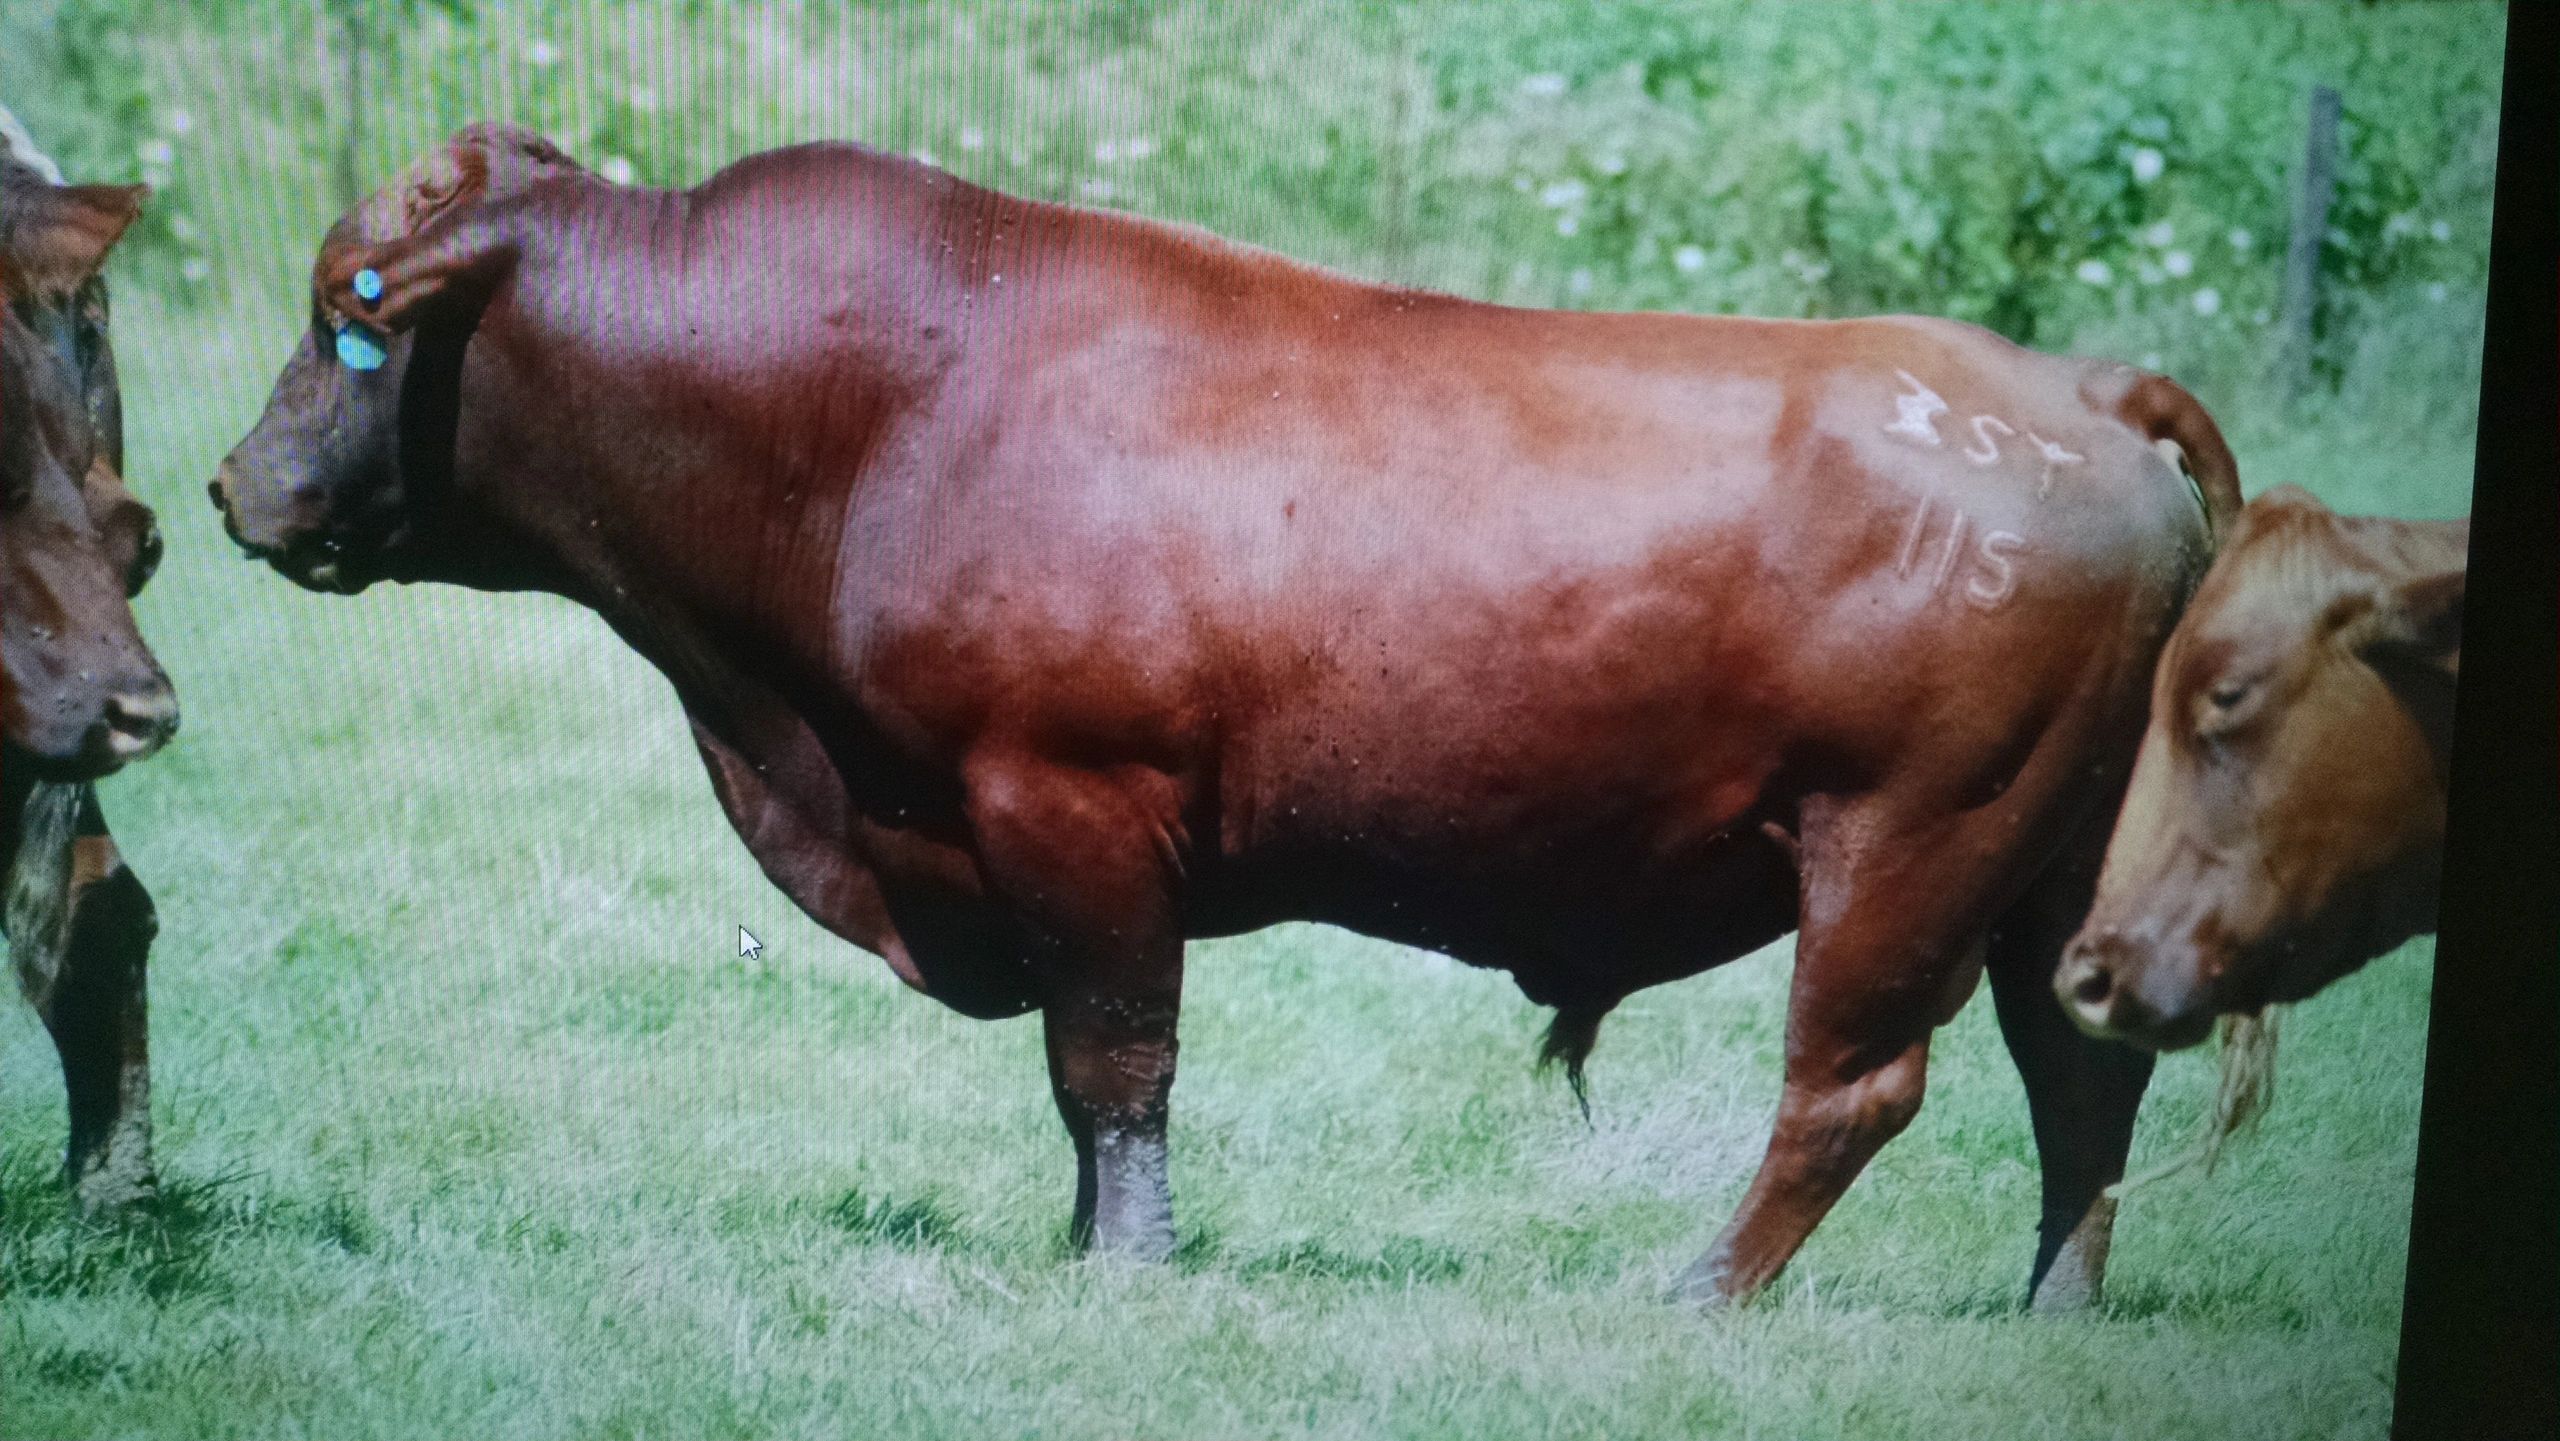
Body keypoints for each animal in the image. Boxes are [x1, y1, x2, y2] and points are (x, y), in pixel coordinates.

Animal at [213, 125, 2239, 1310]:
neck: (874, 410)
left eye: (342, 312)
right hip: (2058, 871)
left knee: (1854, 1087)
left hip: (1908, 850)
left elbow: (1114, 1064)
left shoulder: (1074, 810)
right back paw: (2054, 1306)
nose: (235, 491)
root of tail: (2071, 386)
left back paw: (1698, 1294)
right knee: (2084, 1079)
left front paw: (1126, 1270)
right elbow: (1082, 1076)